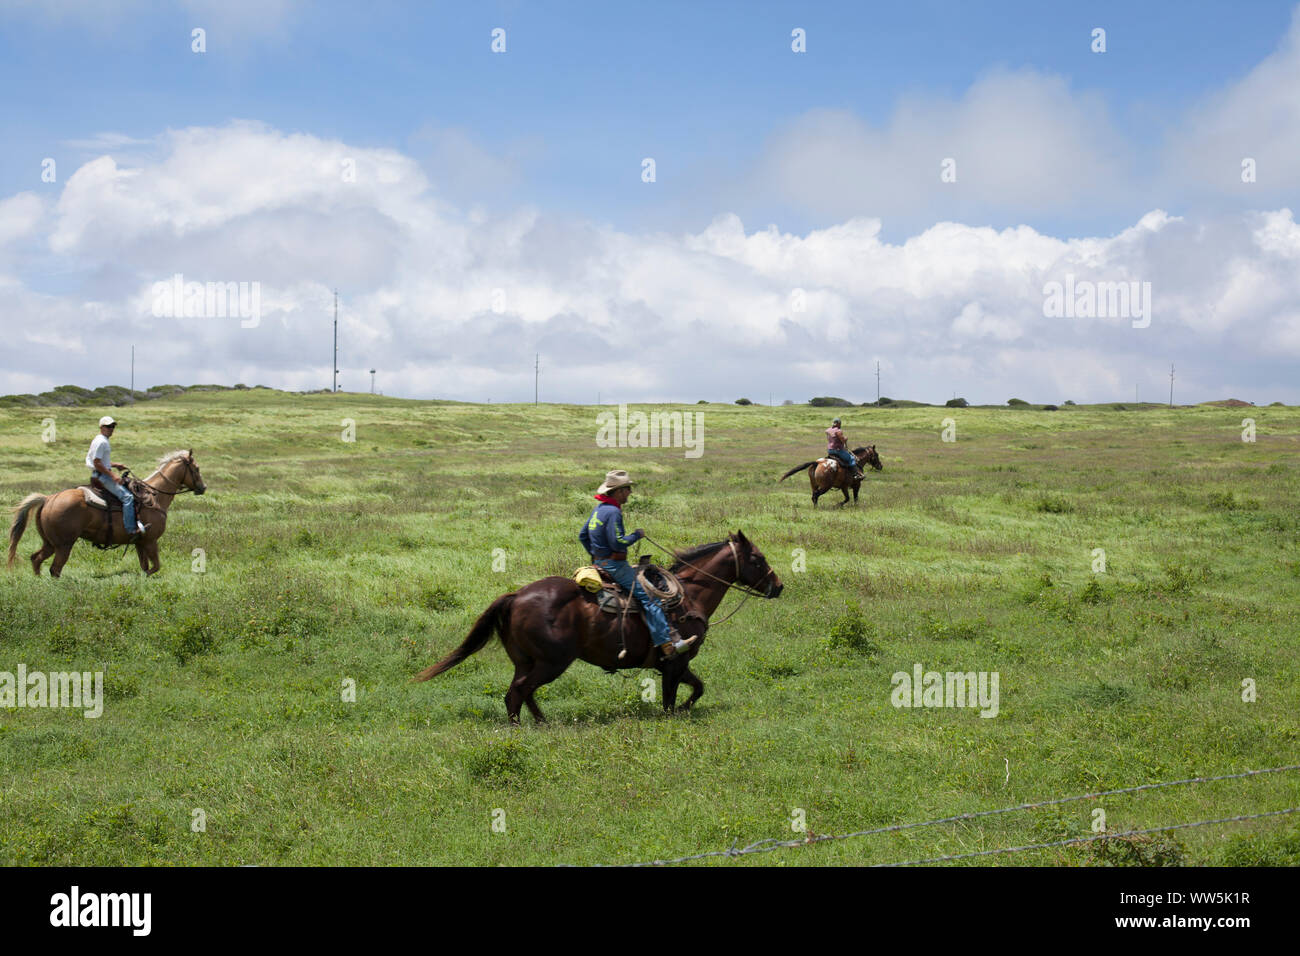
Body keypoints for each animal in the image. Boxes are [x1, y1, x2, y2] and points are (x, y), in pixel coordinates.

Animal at [8, 450, 207, 578]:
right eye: (196, 468)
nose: (203, 487)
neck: (154, 497)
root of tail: (48, 499)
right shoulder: (150, 541)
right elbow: (155, 567)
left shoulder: (139, 543)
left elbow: (145, 567)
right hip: (64, 545)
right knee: (55, 569)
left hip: (50, 543)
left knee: (36, 559)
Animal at [412, 531, 783, 723]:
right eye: (757, 559)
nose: (778, 586)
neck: (689, 595)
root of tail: (516, 596)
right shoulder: (675, 661)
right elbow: (670, 698)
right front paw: (675, 715)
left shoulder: (680, 663)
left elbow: (699, 688)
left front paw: (686, 709)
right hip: (552, 662)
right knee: (518, 692)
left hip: (526, 662)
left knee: (520, 691)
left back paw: (542, 723)